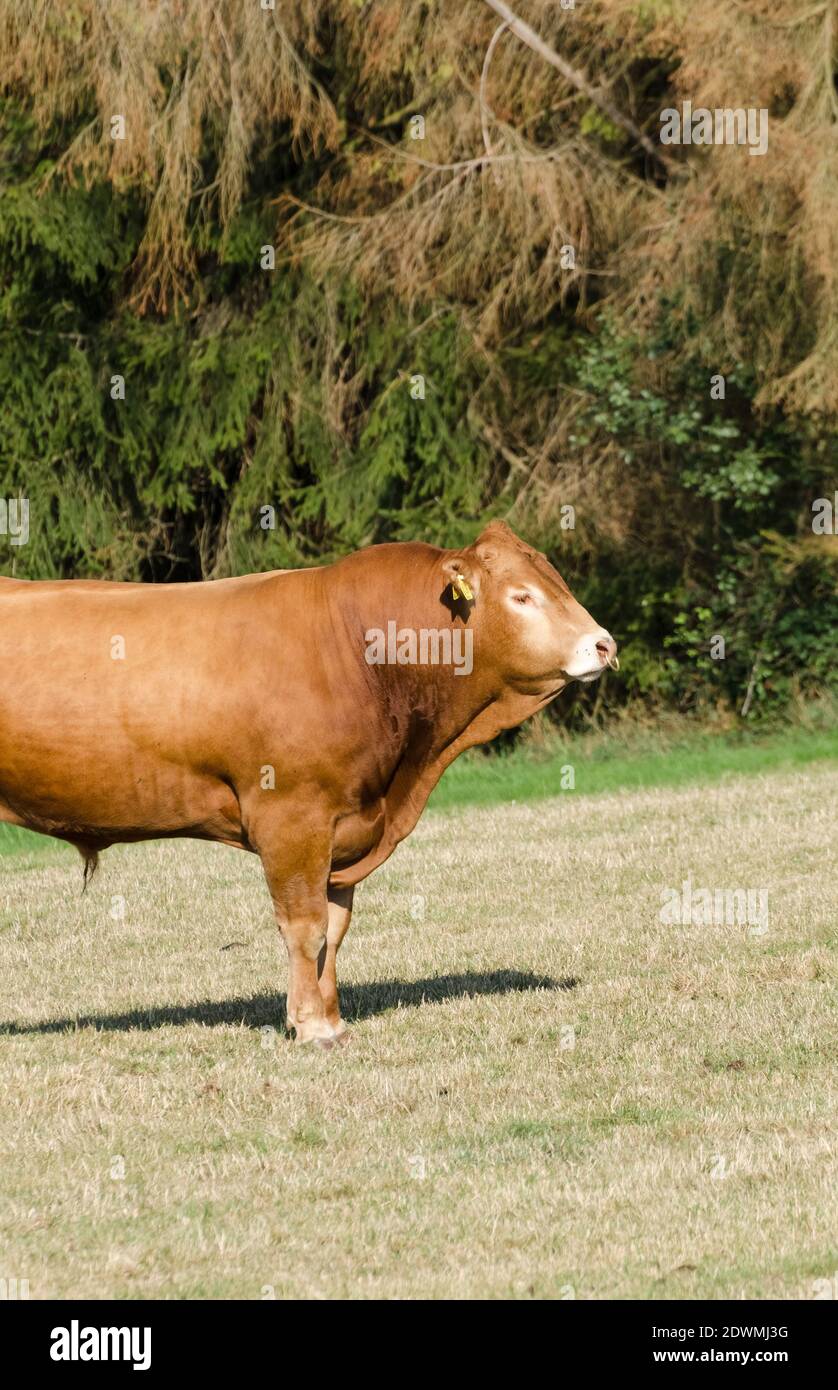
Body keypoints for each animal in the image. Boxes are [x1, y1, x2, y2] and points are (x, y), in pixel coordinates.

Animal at [0, 520, 617, 1046]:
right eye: (522, 596)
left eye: (556, 581)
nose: (604, 645)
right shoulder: (292, 818)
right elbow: (305, 927)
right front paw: (312, 1027)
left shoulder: (344, 826)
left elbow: (335, 930)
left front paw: (332, 1018)